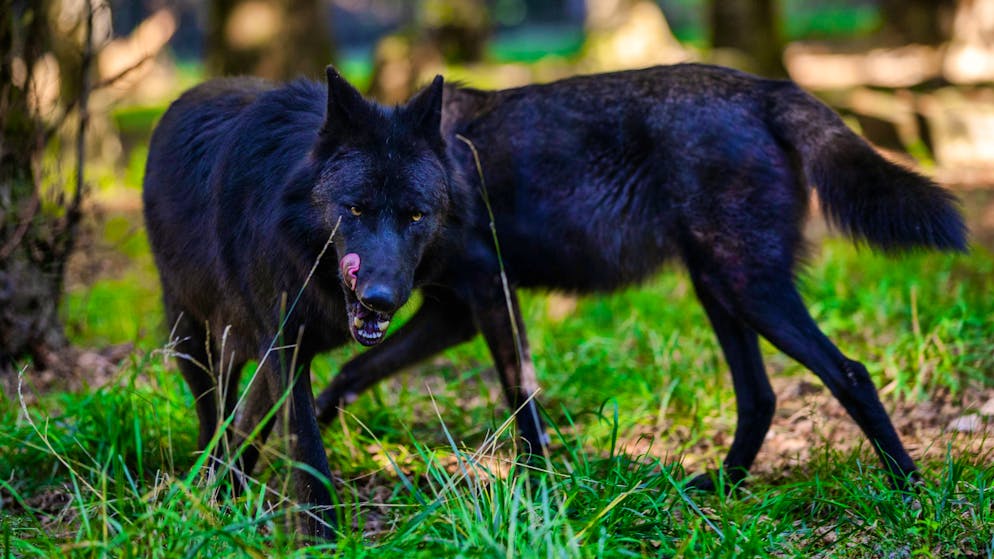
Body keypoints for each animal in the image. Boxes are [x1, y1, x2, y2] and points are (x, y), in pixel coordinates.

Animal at [143, 68, 465, 537]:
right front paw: (323, 538)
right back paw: (208, 485)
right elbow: (307, 448)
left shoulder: (284, 347)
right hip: (190, 336)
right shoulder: (284, 345)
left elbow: (272, 428)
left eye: (416, 215)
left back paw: (227, 487)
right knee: (214, 414)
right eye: (355, 209)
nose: (380, 298)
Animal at [314, 63, 967, 491]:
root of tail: (764, 87)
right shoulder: (453, 315)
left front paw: (537, 490)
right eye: (355, 209)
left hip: (749, 290)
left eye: (410, 214)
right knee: (760, 395)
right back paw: (718, 486)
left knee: (850, 373)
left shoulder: (487, 296)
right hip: (719, 291)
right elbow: (348, 372)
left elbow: (521, 398)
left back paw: (910, 493)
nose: (375, 294)